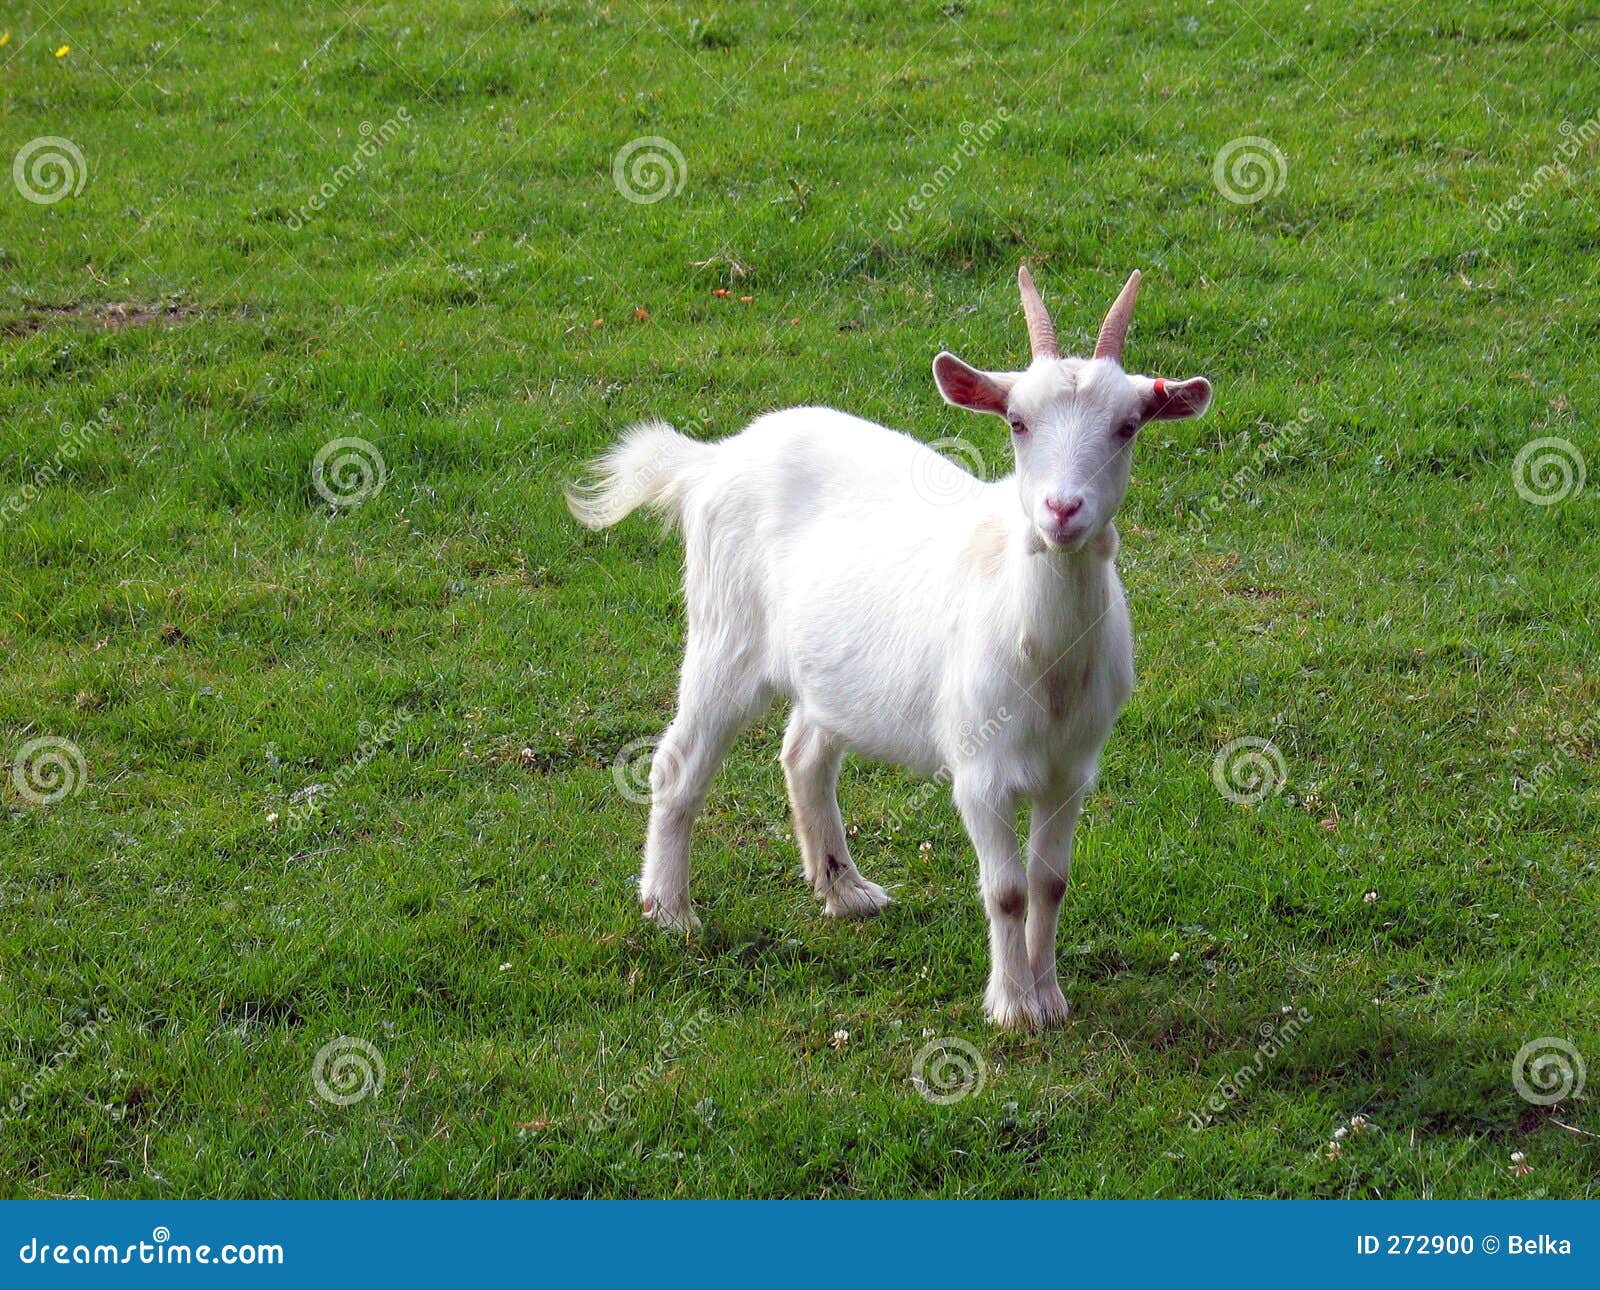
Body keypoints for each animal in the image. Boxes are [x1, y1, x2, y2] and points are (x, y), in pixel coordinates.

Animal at [567, 266, 1213, 1028]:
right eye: (1017, 423)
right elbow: (1007, 891)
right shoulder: (980, 768)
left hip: (830, 670)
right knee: (677, 765)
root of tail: (713, 459)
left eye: (1127, 426)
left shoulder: (1072, 769)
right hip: (725, 634)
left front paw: (1050, 998)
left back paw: (844, 889)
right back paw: (670, 909)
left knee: (804, 755)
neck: (1041, 652)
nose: (1062, 511)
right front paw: (1012, 1007)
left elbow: (1050, 883)